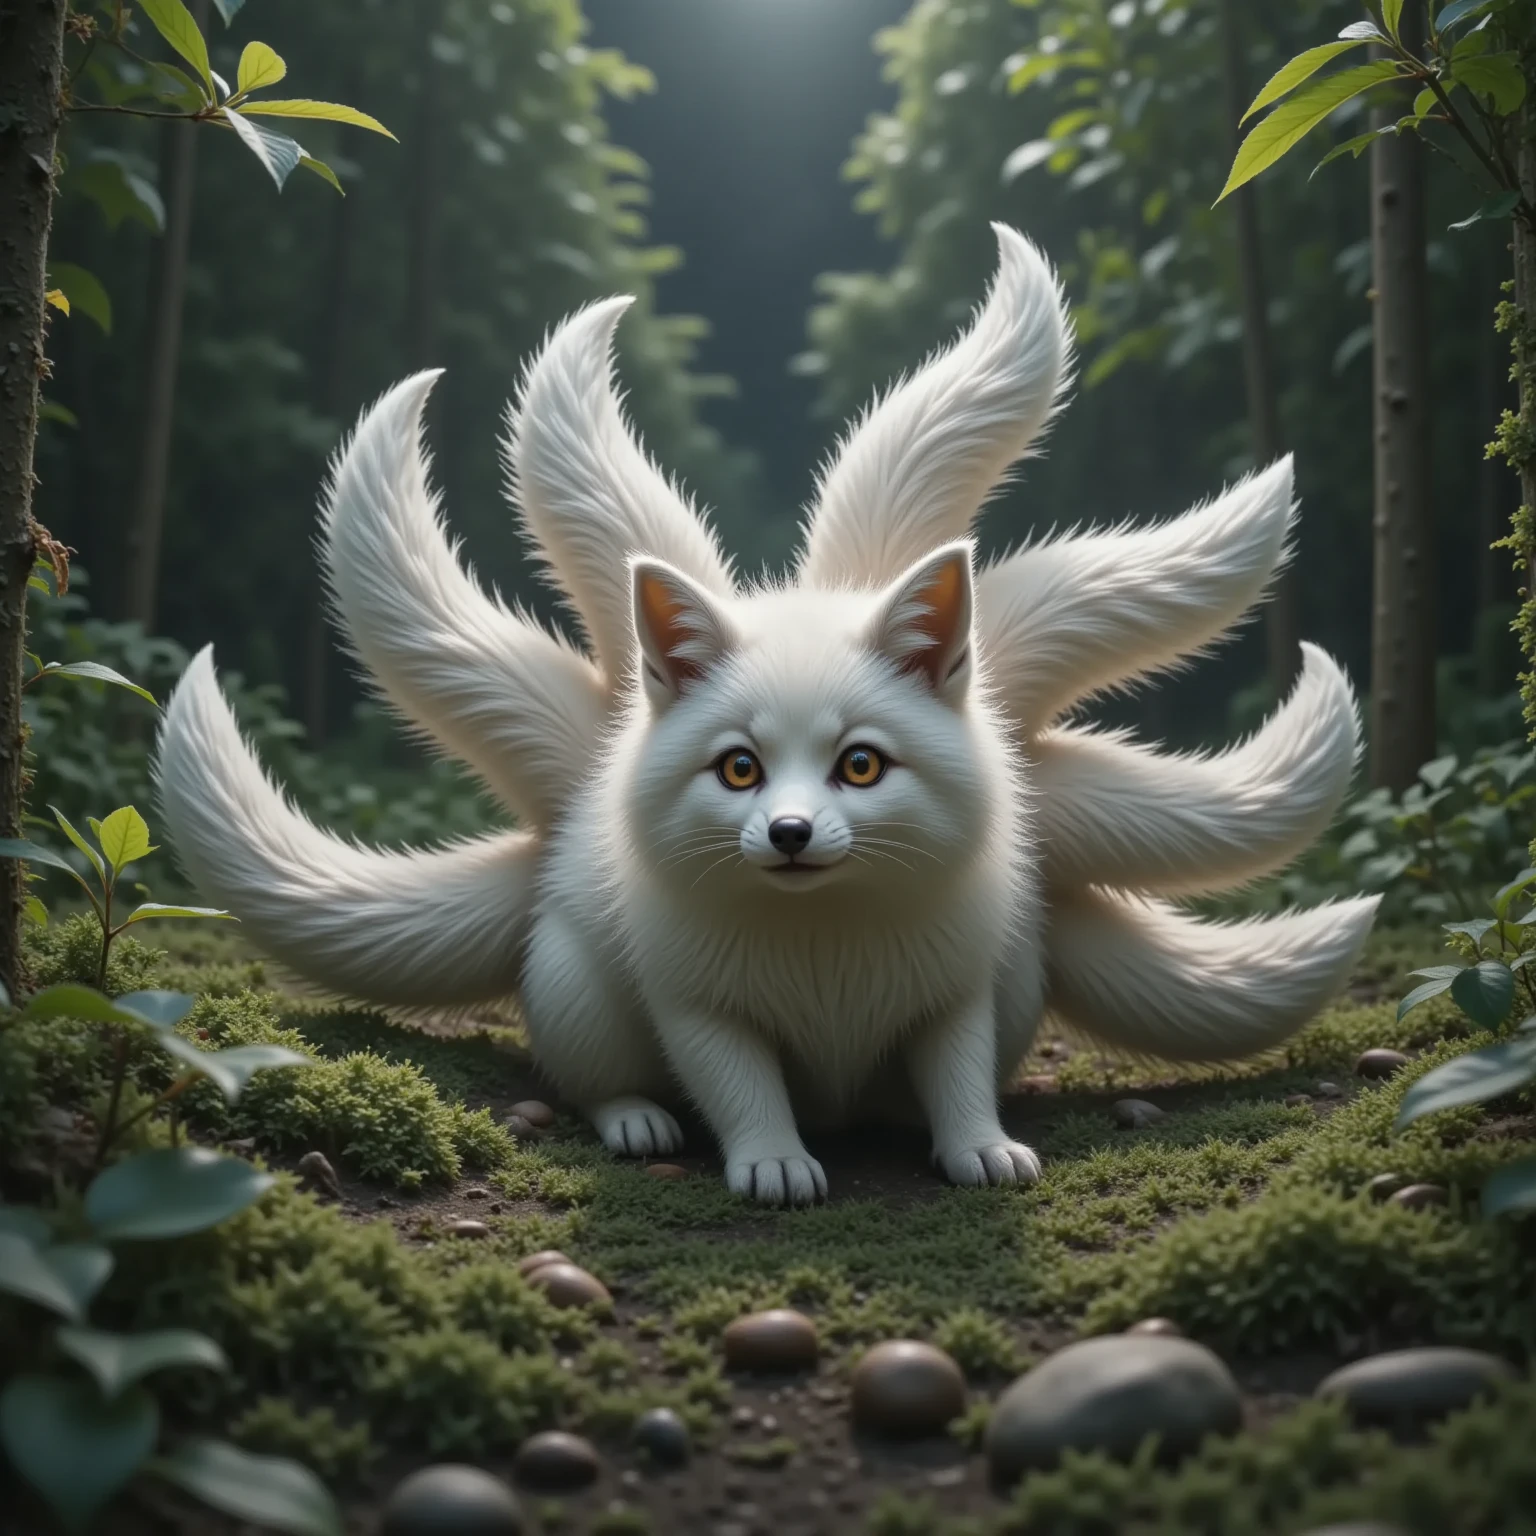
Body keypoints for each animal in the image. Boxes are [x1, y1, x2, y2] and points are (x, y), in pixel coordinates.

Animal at [154, 223, 1379, 1206]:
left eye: (861, 766)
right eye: (738, 769)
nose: (788, 834)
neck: (823, 949)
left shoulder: (958, 990)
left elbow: (957, 1073)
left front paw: (981, 1149)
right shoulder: (699, 1007)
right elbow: (740, 1088)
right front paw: (774, 1167)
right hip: (579, 989)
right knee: (592, 1079)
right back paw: (638, 1123)